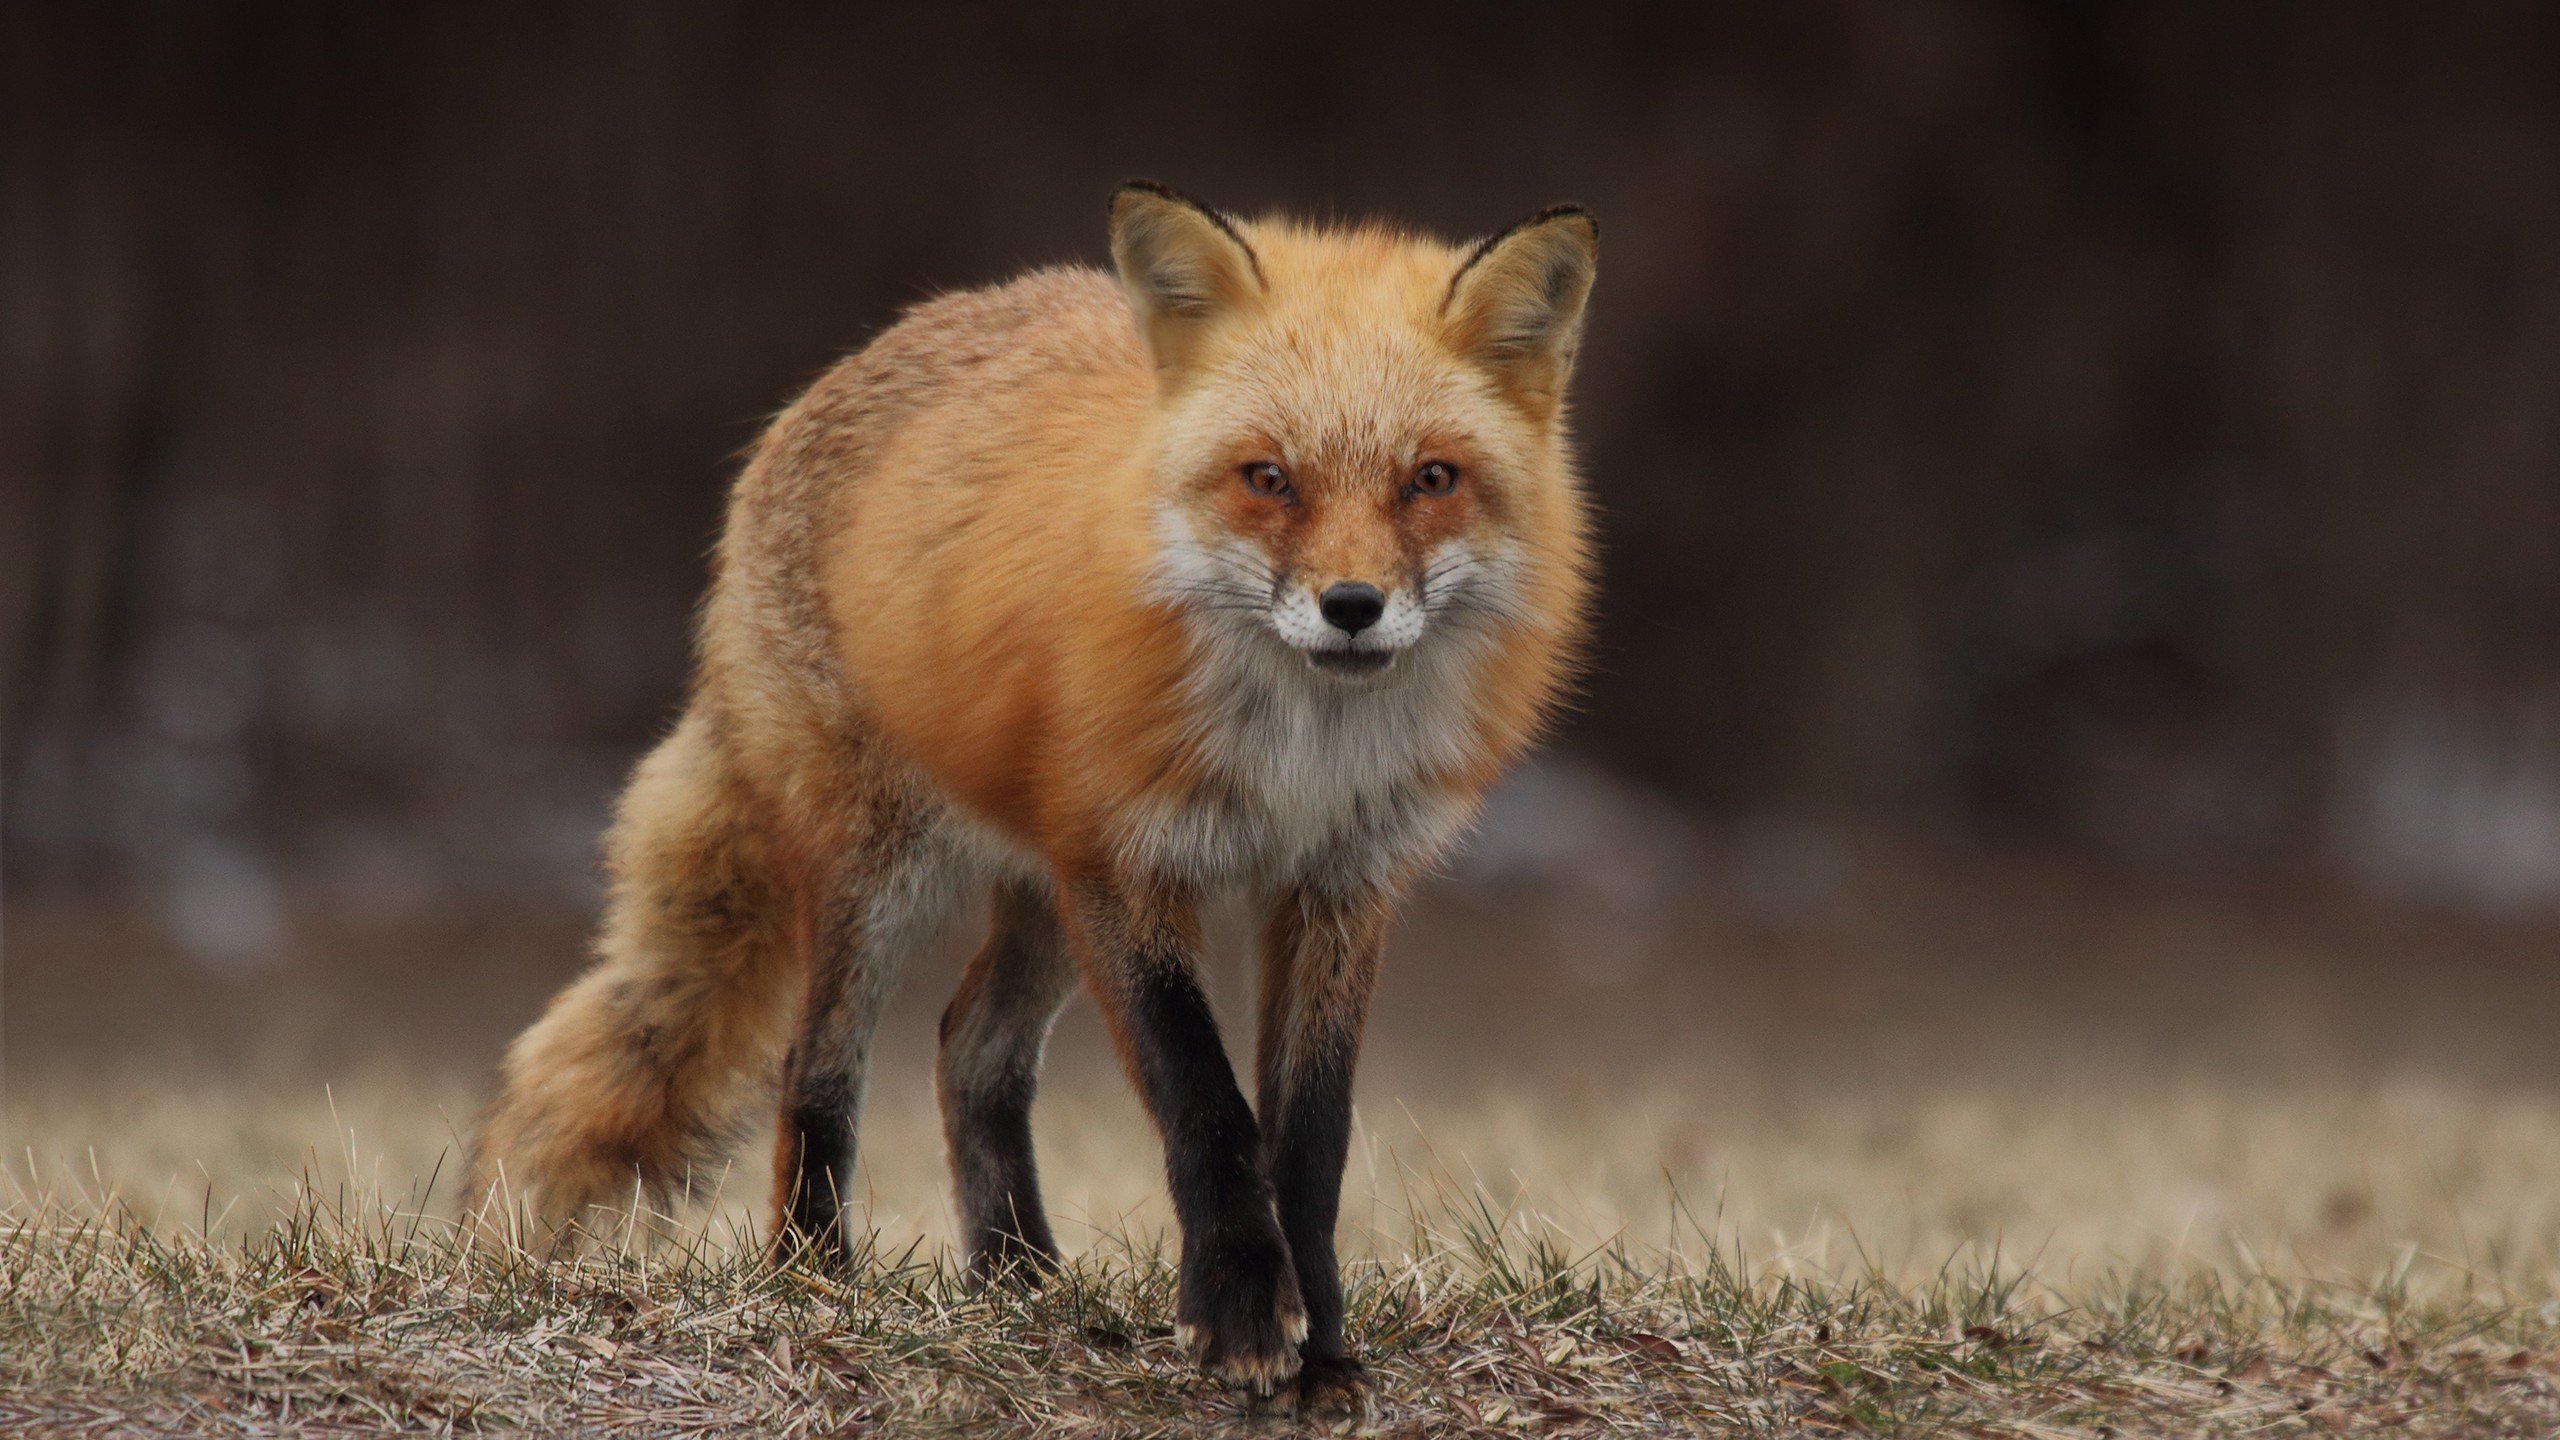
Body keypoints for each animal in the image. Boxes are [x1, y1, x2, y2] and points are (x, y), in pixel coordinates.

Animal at [466, 182, 1597, 1411]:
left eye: (1431, 479)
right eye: (1268, 478)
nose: (1352, 606)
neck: (1300, 756)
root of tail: (850, 366)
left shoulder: (1338, 888)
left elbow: (1309, 1140)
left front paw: (1325, 1352)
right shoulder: (1128, 863)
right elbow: (1205, 1106)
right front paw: (1243, 1316)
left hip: (1044, 894)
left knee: (970, 1050)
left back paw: (1018, 1280)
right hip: (890, 873)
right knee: (817, 1068)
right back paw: (816, 1278)